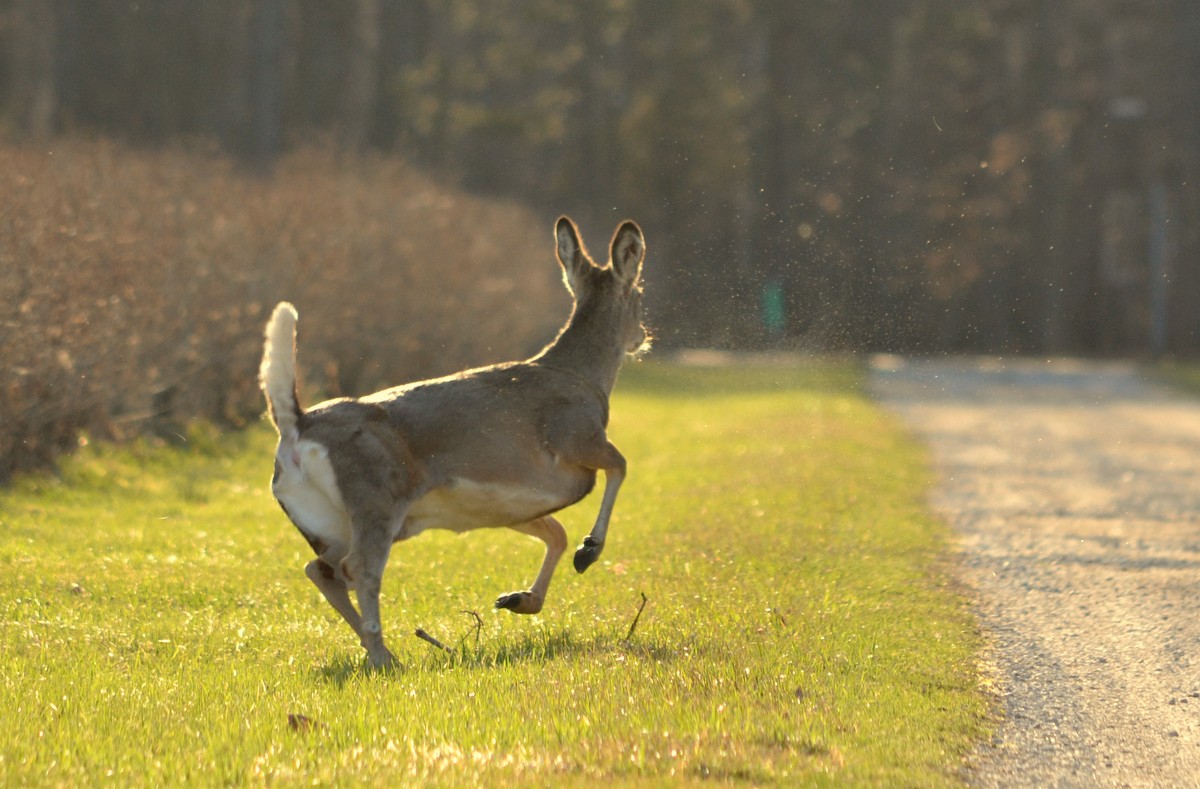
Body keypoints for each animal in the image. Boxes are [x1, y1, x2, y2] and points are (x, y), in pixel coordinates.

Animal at [258, 216, 648, 669]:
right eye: (638, 293)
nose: (643, 336)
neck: (584, 377)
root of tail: (296, 425)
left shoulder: (511, 505)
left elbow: (557, 533)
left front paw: (518, 599)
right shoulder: (576, 437)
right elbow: (620, 465)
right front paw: (590, 550)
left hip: (328, 522)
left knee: (320, 570)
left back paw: (386, 652)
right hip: (377, 497)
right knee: (359, 569)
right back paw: (382, 656)